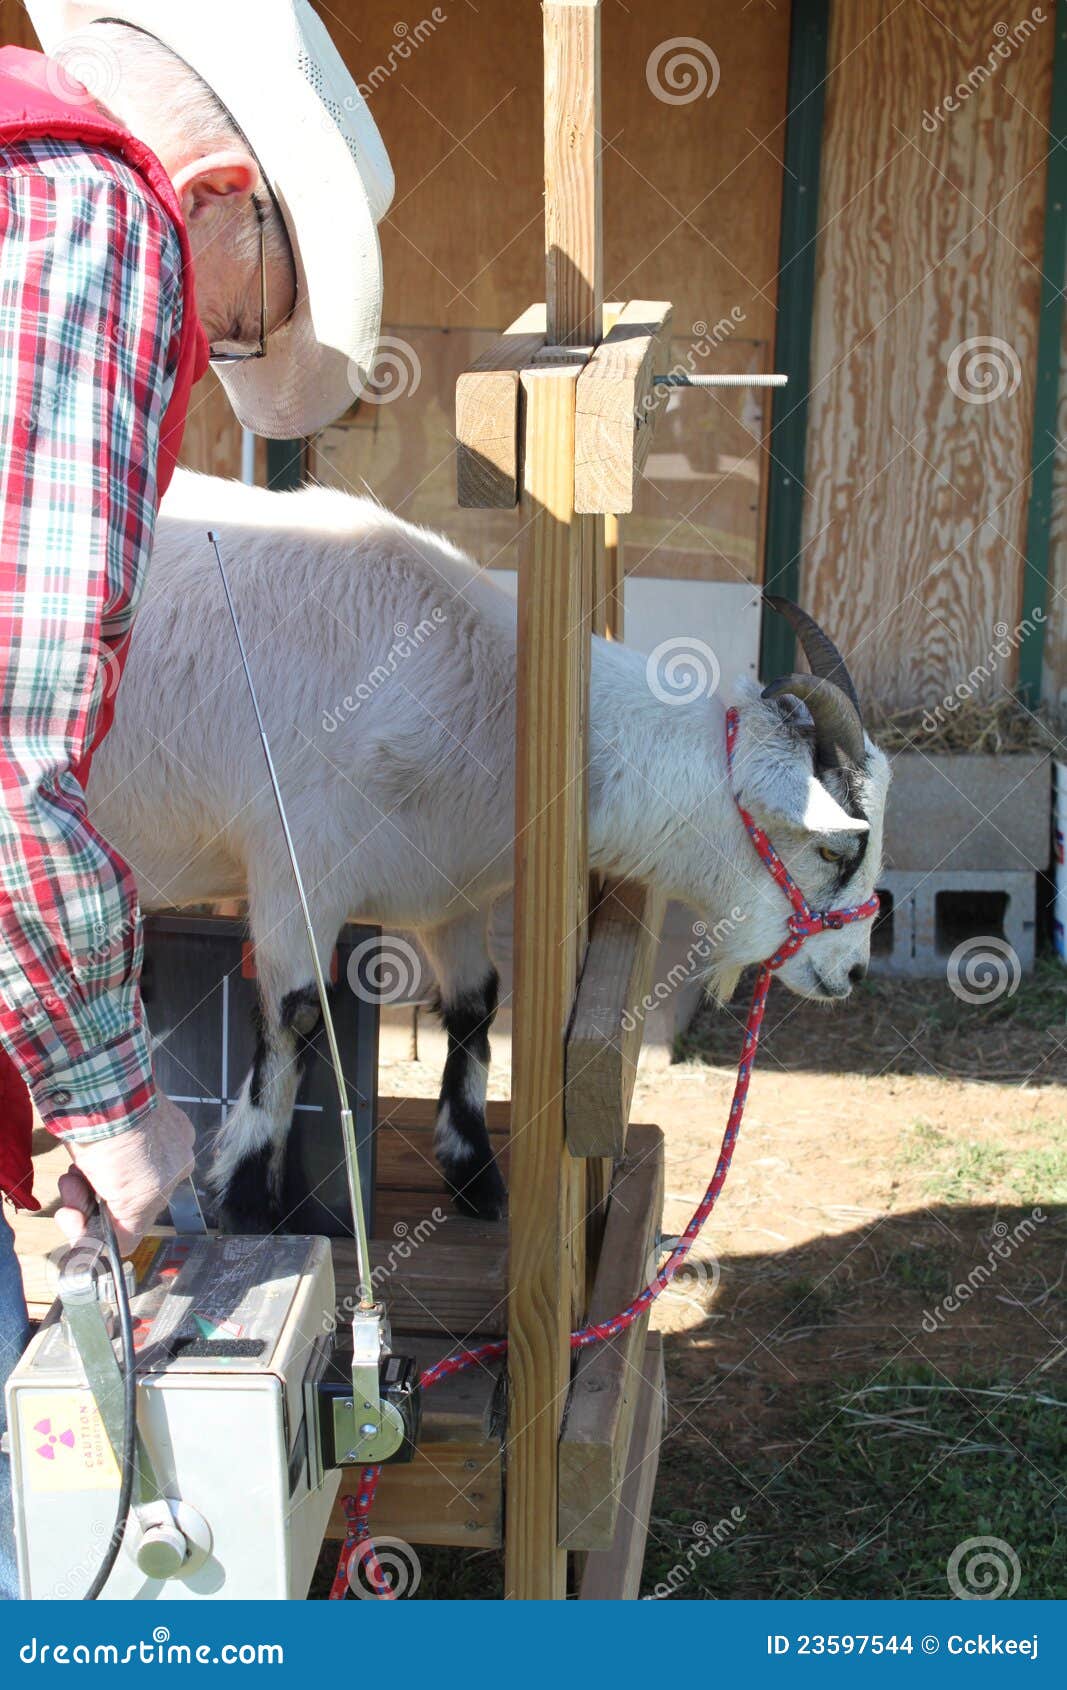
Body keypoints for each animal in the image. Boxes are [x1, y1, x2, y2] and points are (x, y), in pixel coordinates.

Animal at [86, 470, 890, 1229]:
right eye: (833, 851)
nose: (851, 971)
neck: (487, 702)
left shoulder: (451, 897)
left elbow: (475, 1011)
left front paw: (475, 1177)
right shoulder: (297, 871)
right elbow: (296, 1015)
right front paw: (248, 1200)